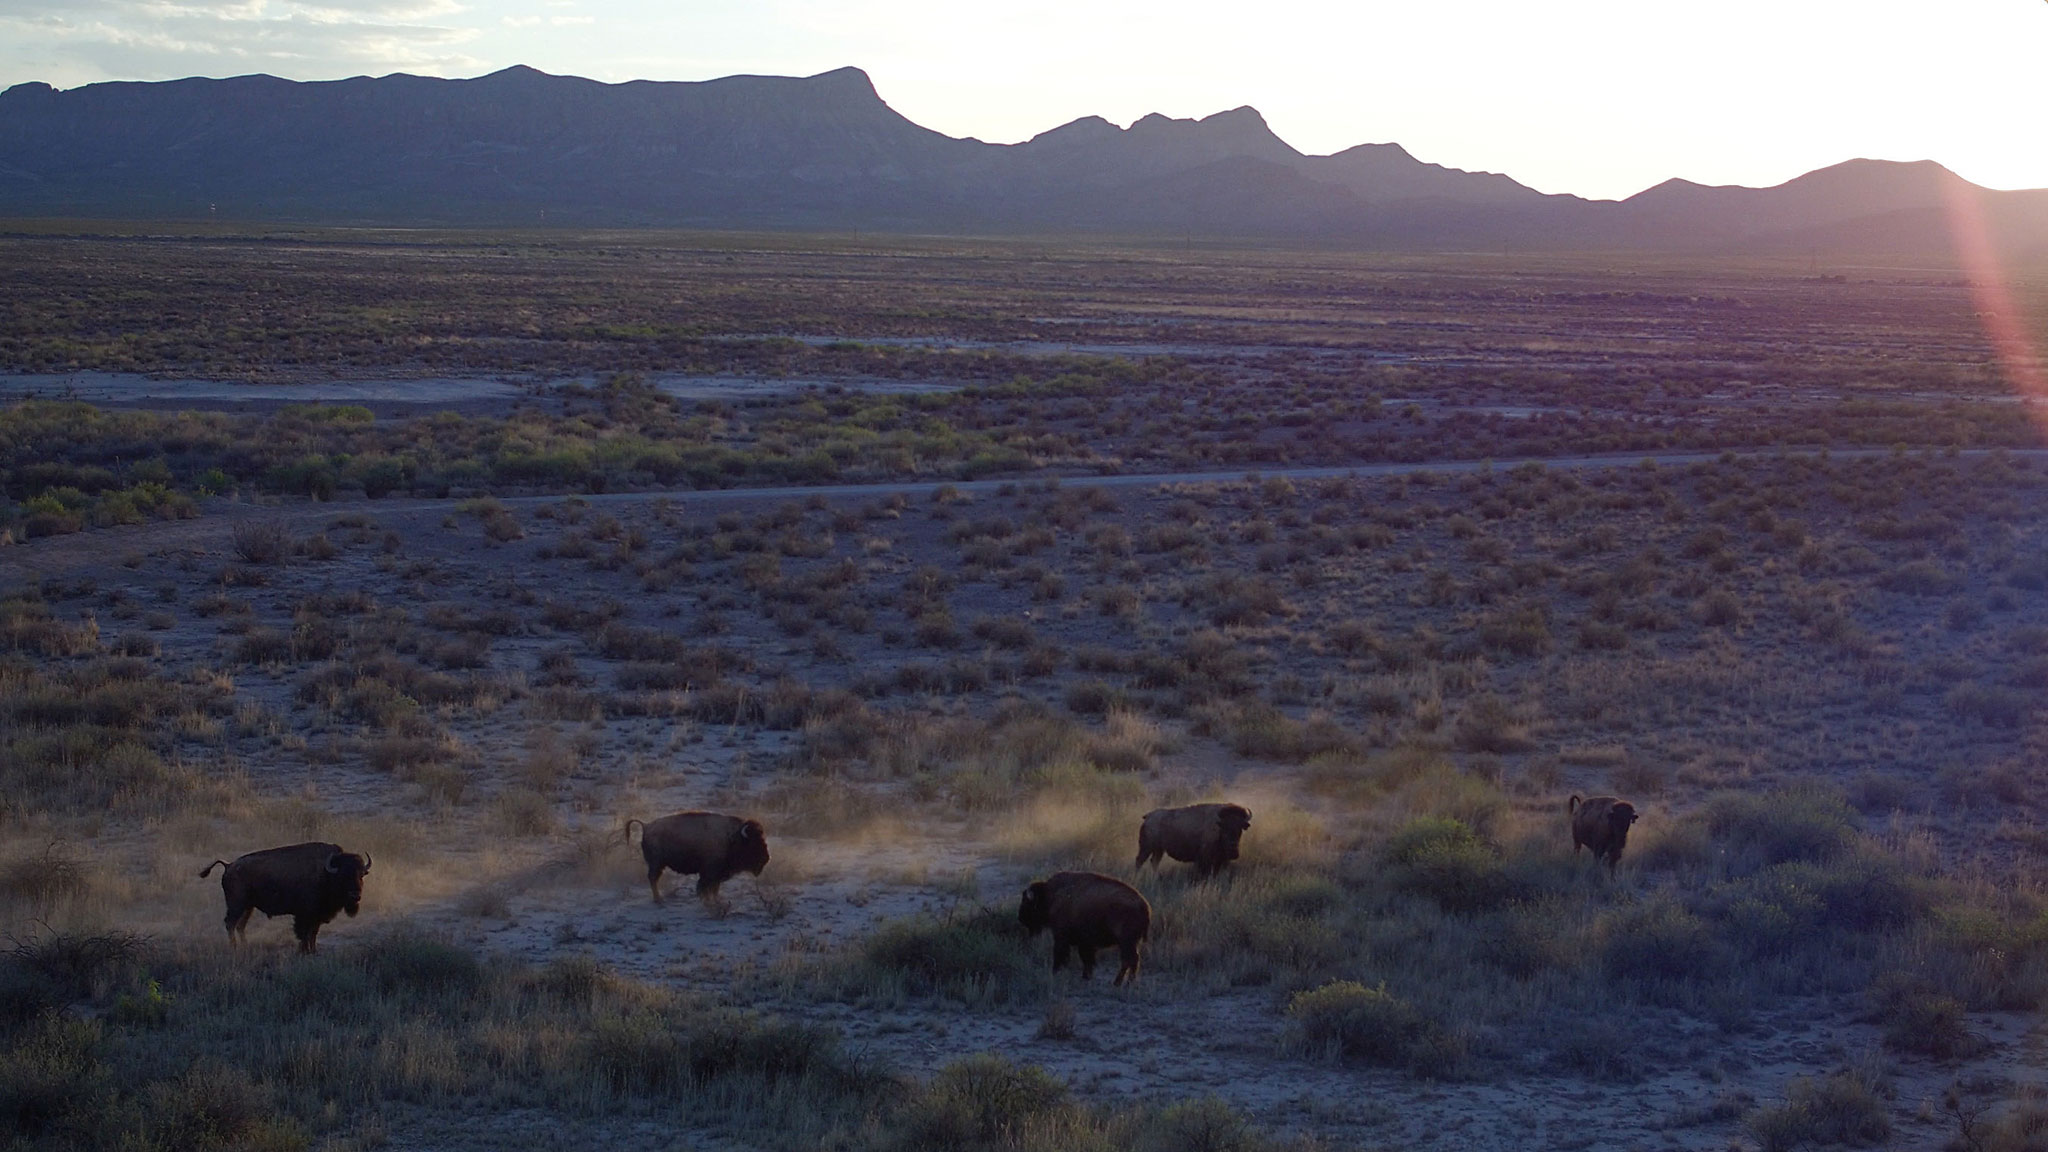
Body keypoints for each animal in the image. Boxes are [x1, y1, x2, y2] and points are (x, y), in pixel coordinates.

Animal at [199, 842, 371, 953]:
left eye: (361, 875)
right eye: (343, 876)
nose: (355, 895)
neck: (326, 872)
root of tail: (229, 865)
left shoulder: (316, 916)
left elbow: (313, 934)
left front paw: (313, 951)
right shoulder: (304, 915)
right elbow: (304, 934)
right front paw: (304, 951)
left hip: (248, 907)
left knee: (240, 926)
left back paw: (245, 947)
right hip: (237, 905)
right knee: (230, 923)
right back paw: (234, 948)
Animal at [624, 811, 769, 908]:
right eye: (754, 843)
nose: (766, 858)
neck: (731, 838)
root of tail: (646, 826)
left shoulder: (717, 874)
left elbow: (714, 888)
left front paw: (717, 901)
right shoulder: (710, 872)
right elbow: (705, 887)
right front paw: (707, 901)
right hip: (656, 864)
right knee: (653, 878)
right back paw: (659, 899)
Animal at [1018, 871, 1151, 986]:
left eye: (1026, 902)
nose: (1020, 918)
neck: (1050, 895)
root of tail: (1144, 905)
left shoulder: (1061, 937)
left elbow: (1061, 954)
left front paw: (1055, 972)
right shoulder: (1085, 943)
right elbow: (1087, 959)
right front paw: (1086, 976)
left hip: (1126, 942)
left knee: (1129, 960)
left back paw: (1120, 983)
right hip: (1131, 942)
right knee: (1132, 960)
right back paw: (1124, 982)